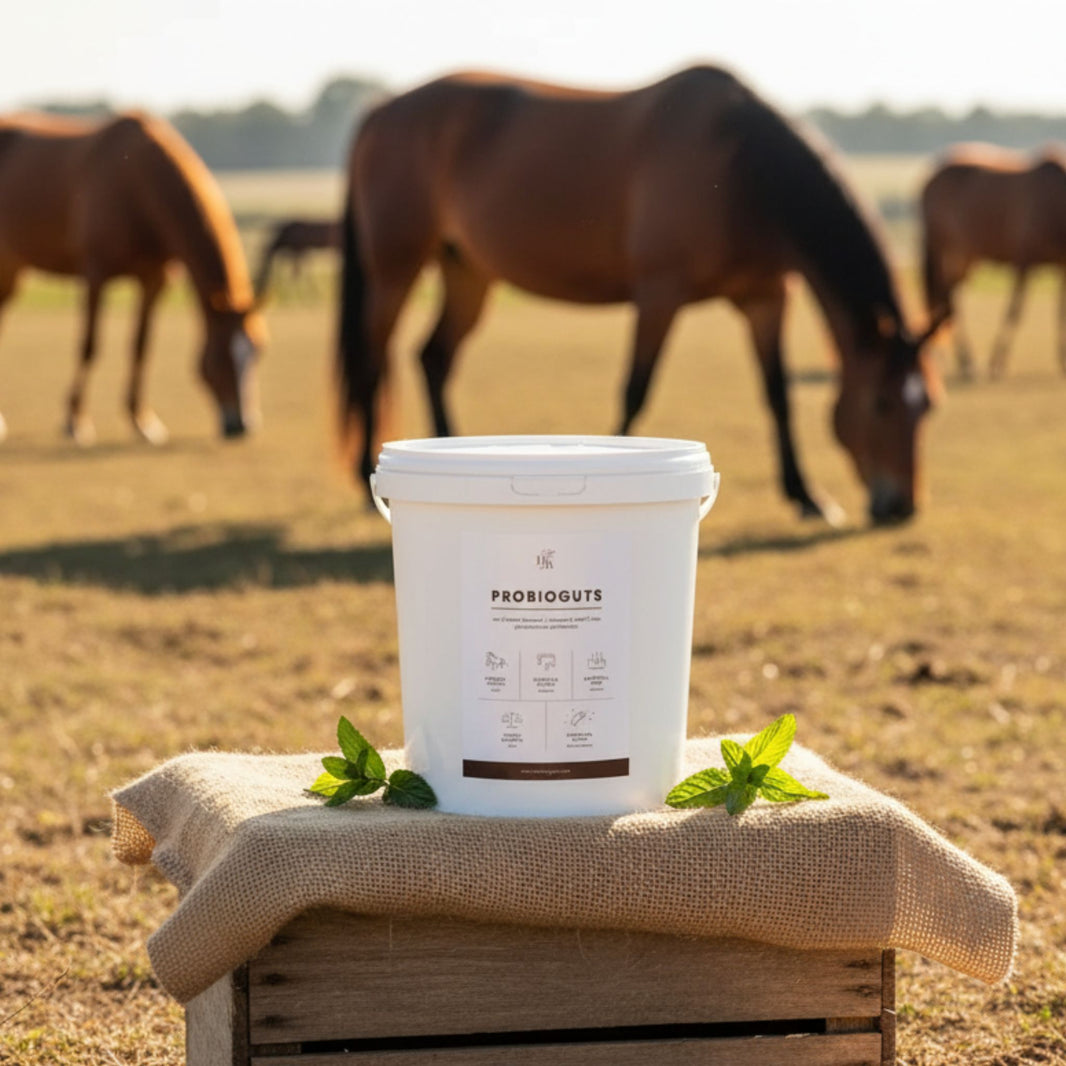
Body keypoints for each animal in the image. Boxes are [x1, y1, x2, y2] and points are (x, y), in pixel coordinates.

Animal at [0, 110, 267, 445]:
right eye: (219, 358)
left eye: (259, 351)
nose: (241, 425)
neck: (138, 186)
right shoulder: (96, 274)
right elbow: (89, 345)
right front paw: (76, 421)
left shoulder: (154, 279)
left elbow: (141, 346)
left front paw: (142, 421)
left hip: (12, 270)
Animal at [337, 66, 944, 525]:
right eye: (881, 403)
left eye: (928, 406)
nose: (902, 506)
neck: (738, 168)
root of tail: (382, 110)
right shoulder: (659, 293)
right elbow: (636, 388)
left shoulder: (765, 299)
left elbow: (777, 396)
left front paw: (807, 496)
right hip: (394, 268)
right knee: (372, 360)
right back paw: (366, 477)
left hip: (466, 272)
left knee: (433, 357)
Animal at [921, 144, 1066, 380]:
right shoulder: (1023, 262)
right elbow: (1014, 311)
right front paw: (997, 362)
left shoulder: (1062, 266)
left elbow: (1060, 313)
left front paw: (1062, 360)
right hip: (950, 250)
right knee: (948, 298)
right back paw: (965, 360)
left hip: (966, 257)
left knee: (951, 297)